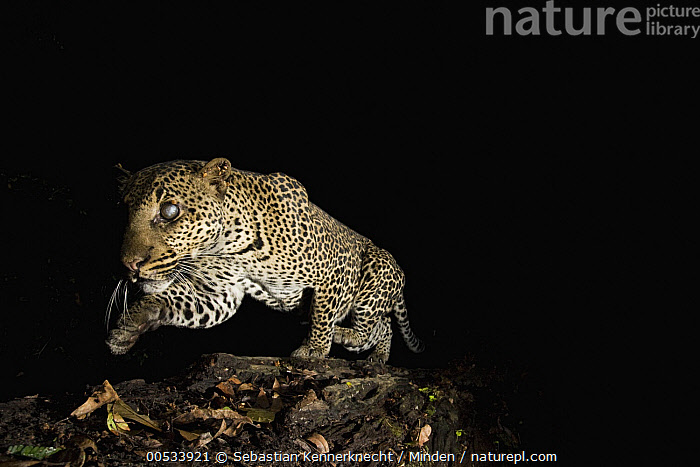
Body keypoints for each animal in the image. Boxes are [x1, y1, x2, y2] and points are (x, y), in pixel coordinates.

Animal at [106, 158, 425, 363]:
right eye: (123, 213)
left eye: (170, 211)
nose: (130, 265)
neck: (229, 246)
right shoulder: (220, 293)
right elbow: (166, 301)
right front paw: (129, 327)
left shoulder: (331, 272)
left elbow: (321, 316)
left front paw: (314, 350)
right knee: (383, 325)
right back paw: (376, 355)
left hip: (373, 279)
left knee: (373, 328)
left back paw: (351, 341)